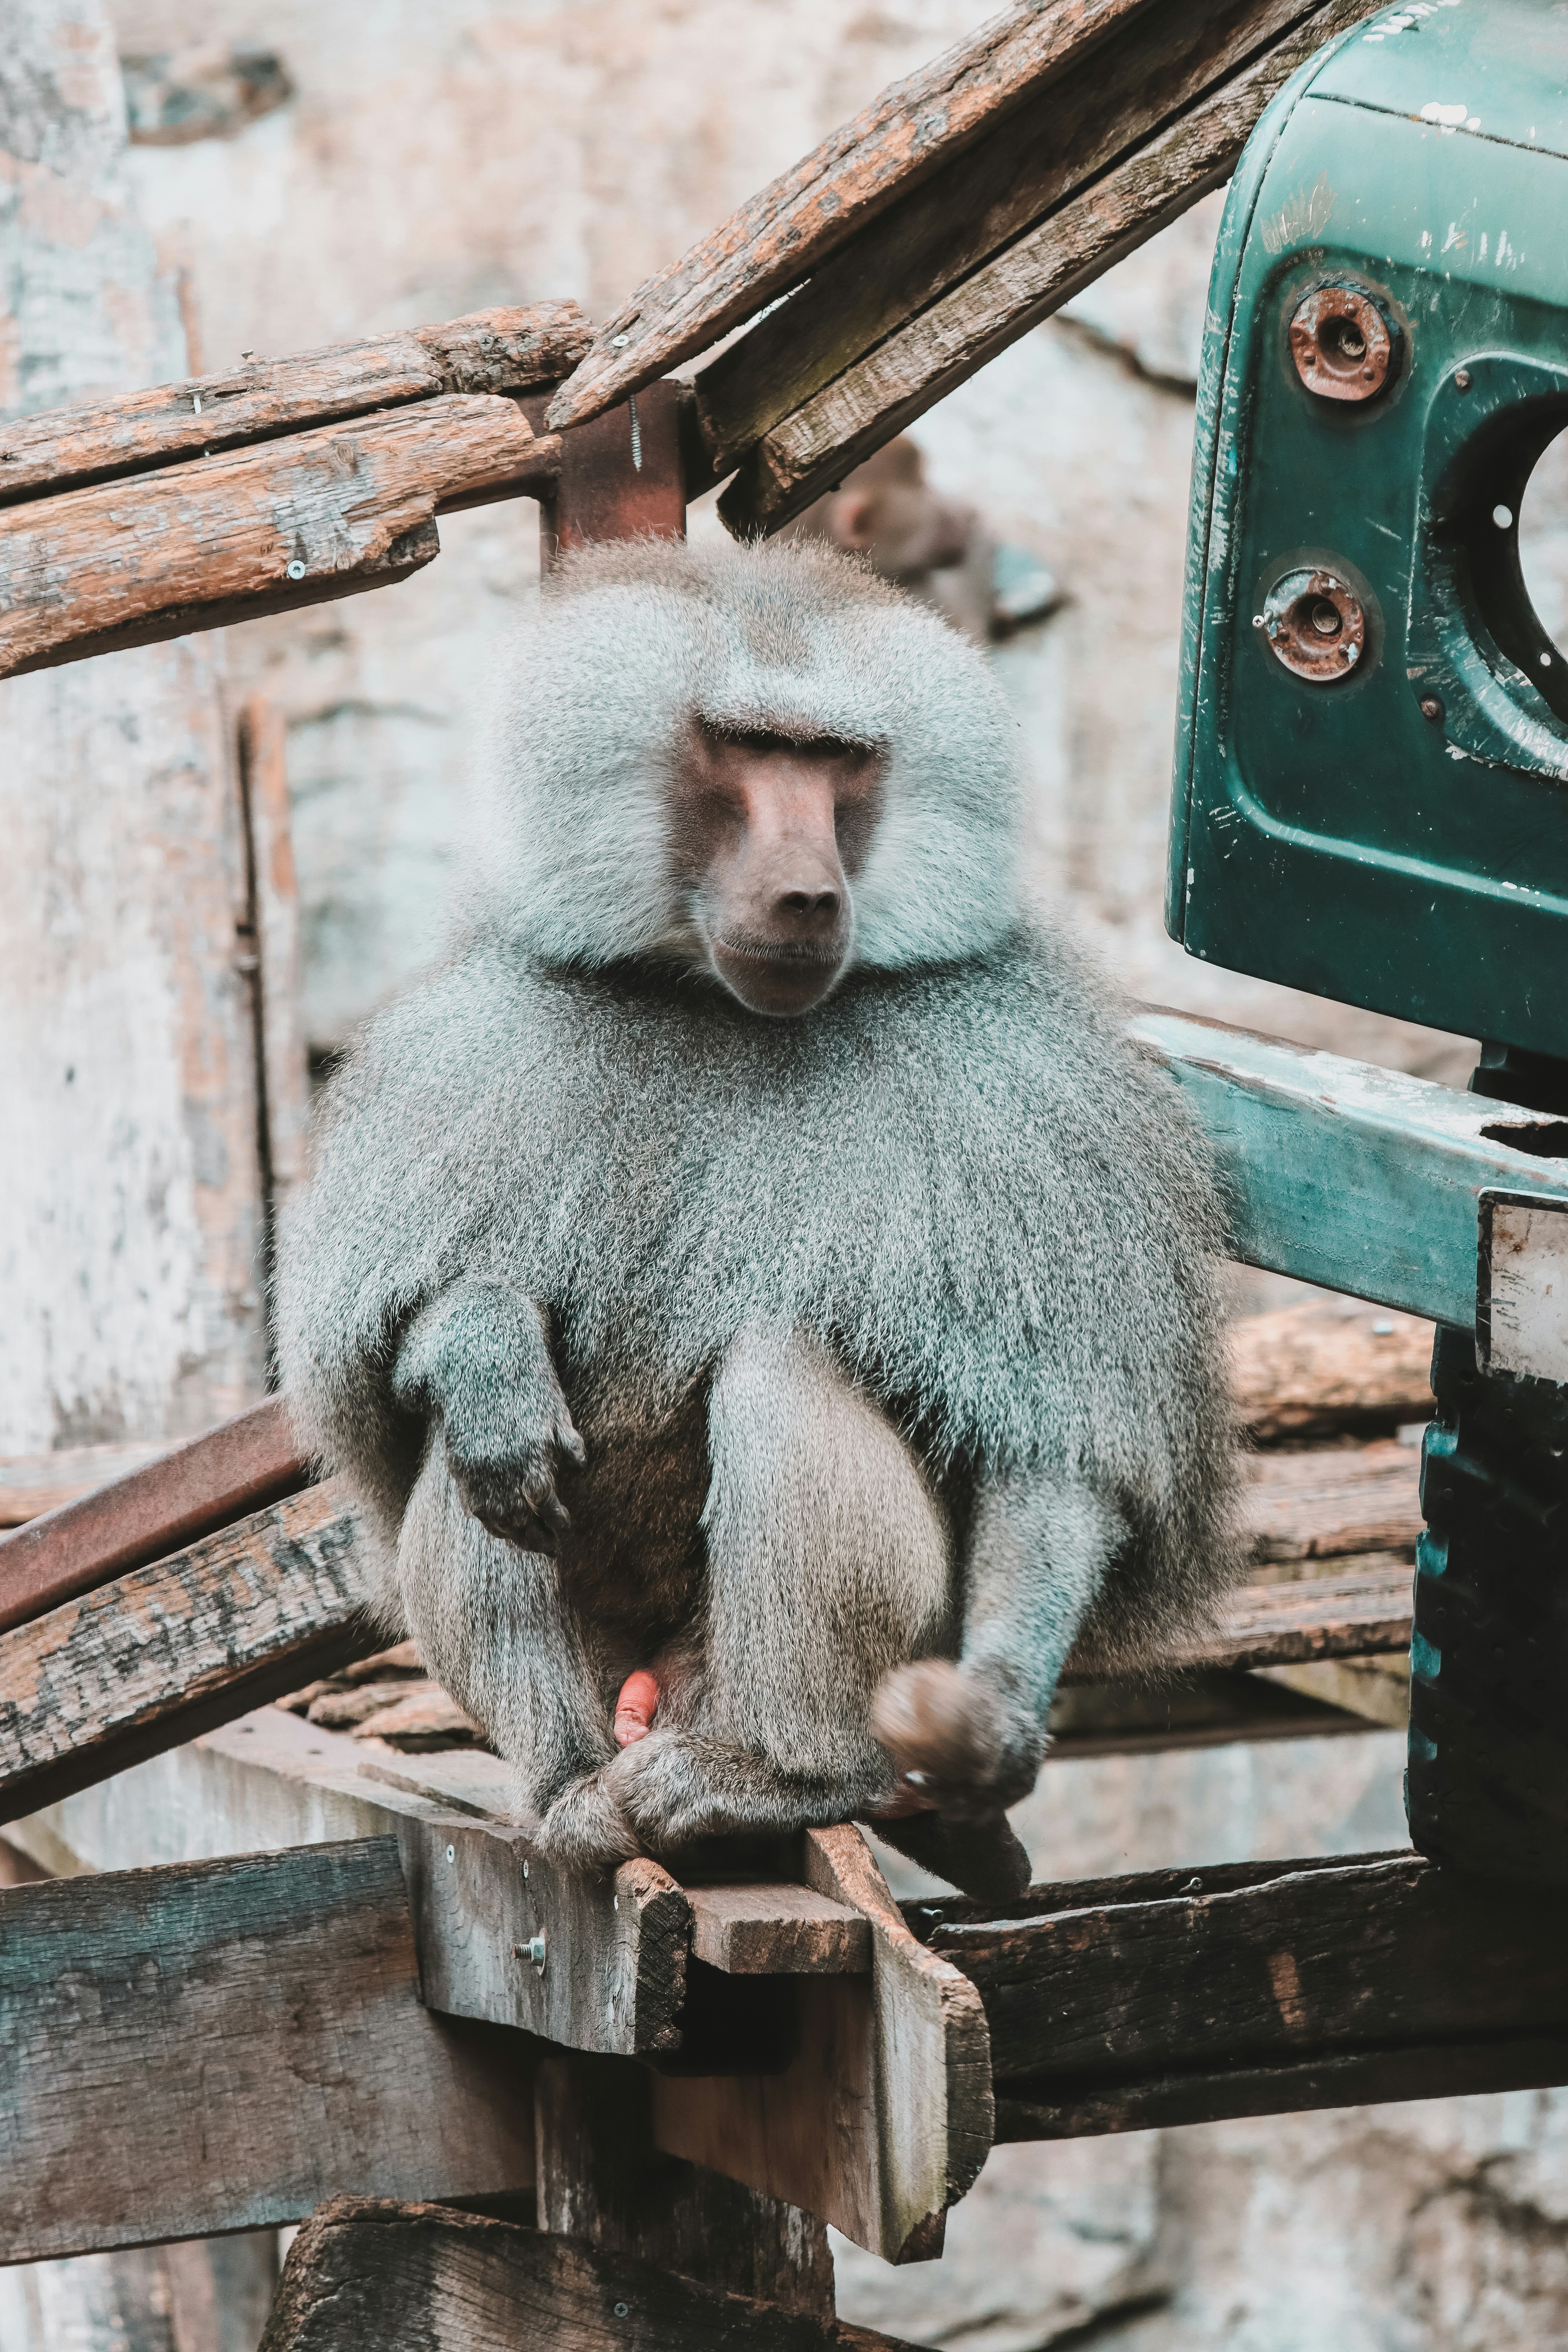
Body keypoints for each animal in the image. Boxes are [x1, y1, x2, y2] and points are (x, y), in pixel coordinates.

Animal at [275, 534, 1240, 1901]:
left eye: (834, 760)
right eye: (744, 745)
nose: (803, 895)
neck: (724, 1012)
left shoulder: (1028, 1096)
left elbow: (1057, 1459)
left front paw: (993, 1719)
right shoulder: (468, 1048)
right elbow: (388, 1362)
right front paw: (482, 1347)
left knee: (783, 1364)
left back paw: (779, 1779)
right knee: (469, 1457)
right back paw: (574, 1798)